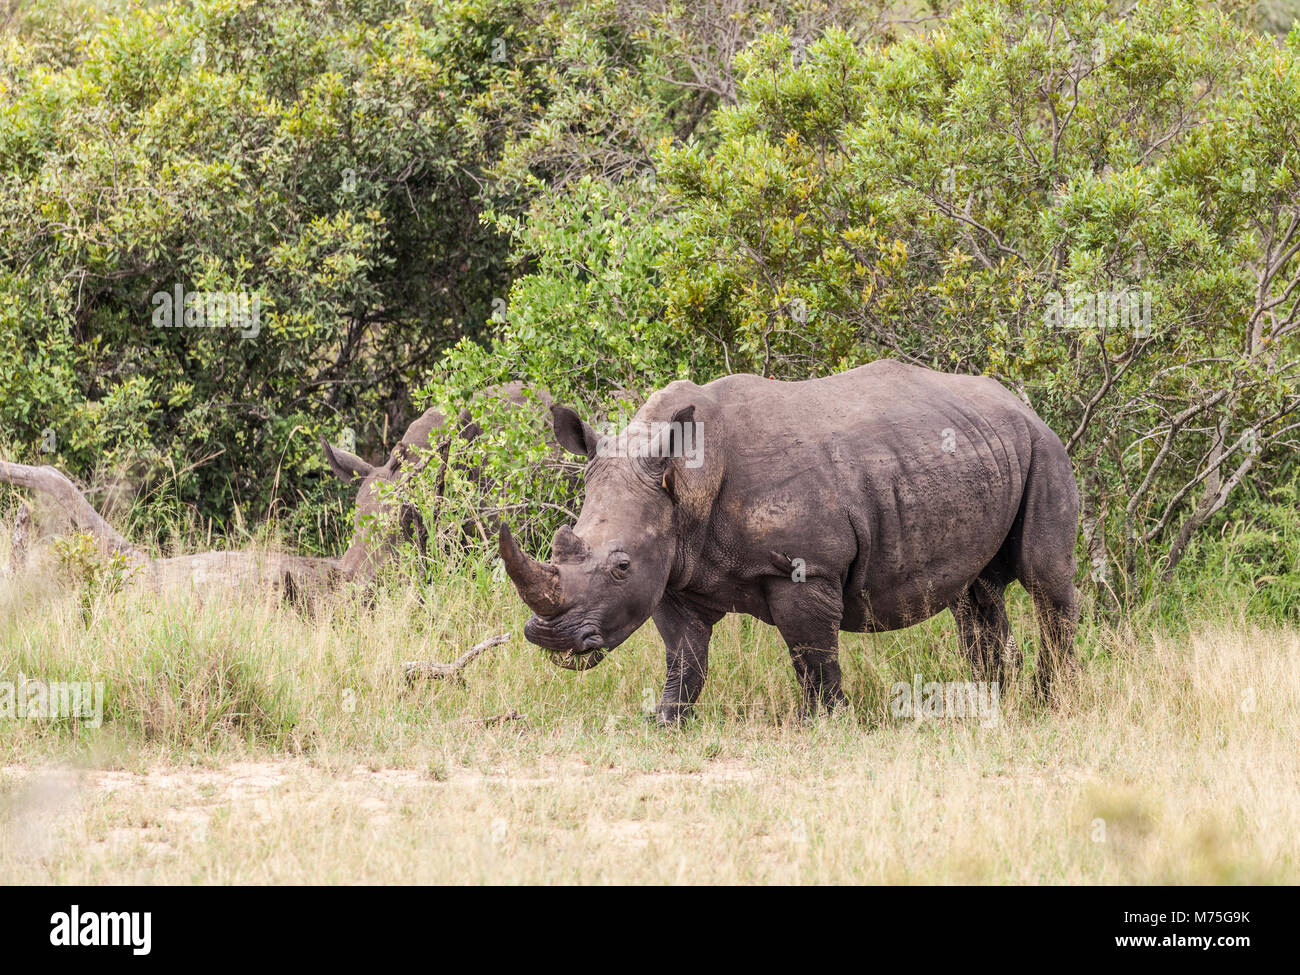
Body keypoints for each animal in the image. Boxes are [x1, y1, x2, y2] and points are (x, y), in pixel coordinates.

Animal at [500, 361, 1079, 723]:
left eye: (620, 566)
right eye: (562, 546)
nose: (553, 639)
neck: (683, 480)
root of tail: (1020, 404)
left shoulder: (807, 567)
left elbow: (810, 650)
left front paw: (822, 723)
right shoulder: (672, 568)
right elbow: (683, 657)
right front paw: (666, 721)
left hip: (1044, 449)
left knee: (1045, 582)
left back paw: (1051, 702)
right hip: (984, 450)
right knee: (975, 594)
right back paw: (989, 701)